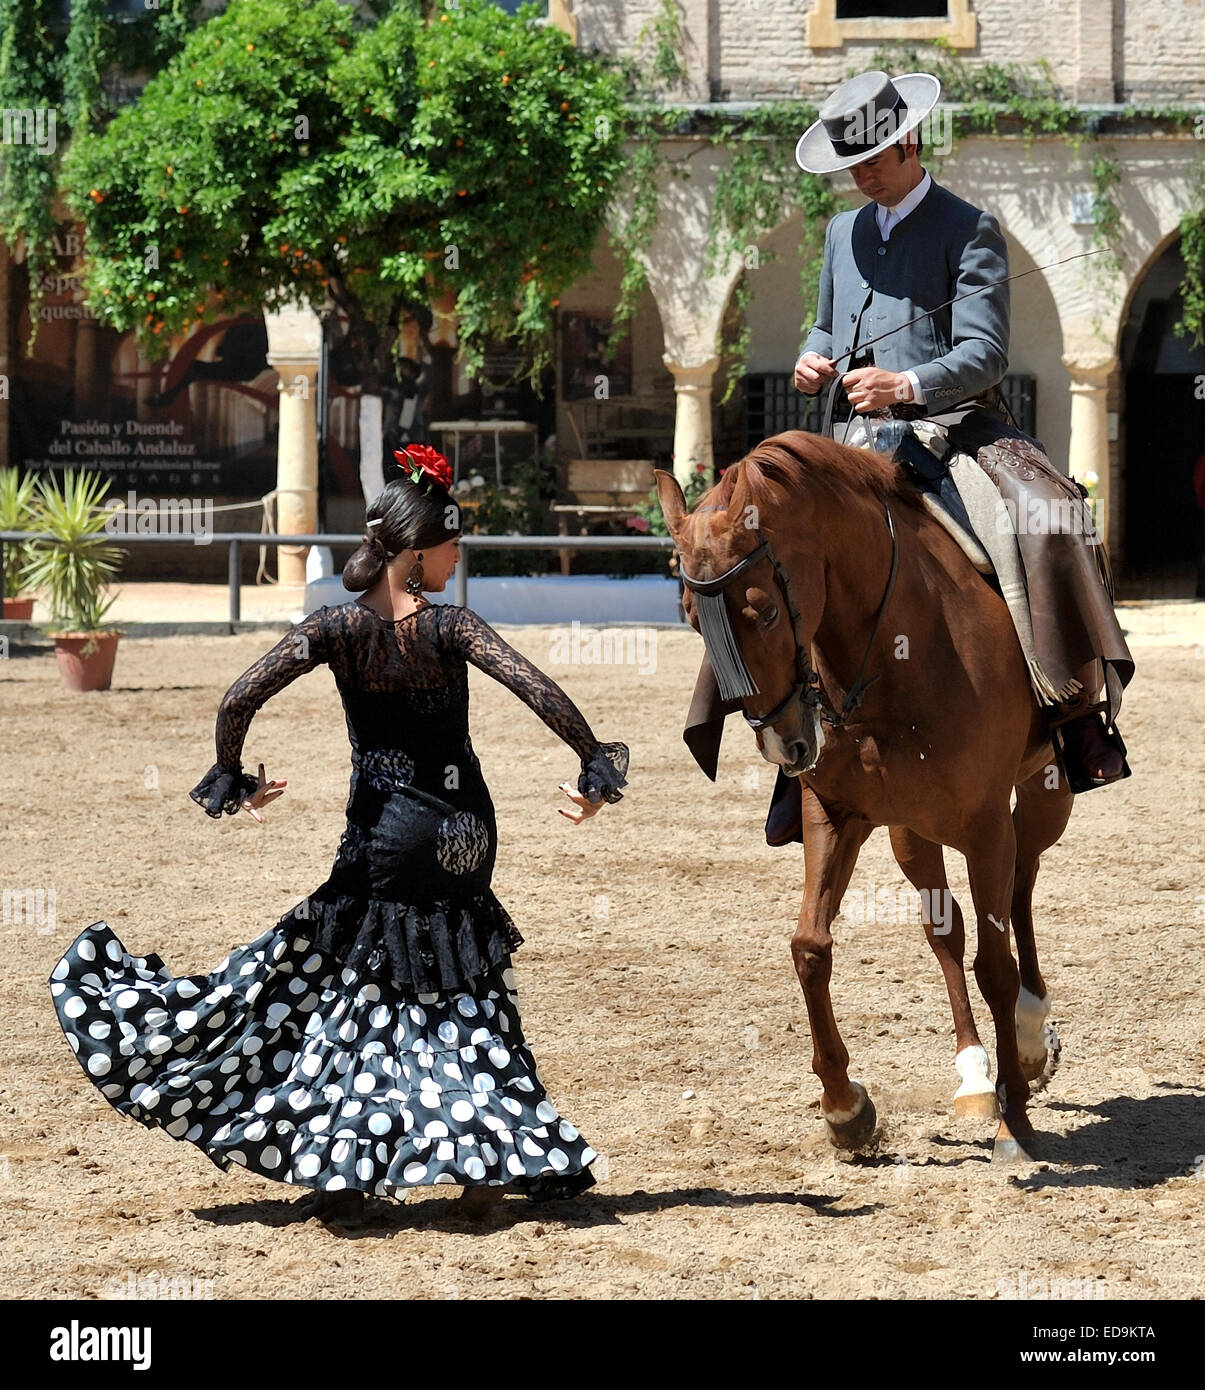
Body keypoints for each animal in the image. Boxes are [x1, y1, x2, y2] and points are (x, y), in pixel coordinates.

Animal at [655, 430, 1073, 1164]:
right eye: (690, 618)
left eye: (764, 610)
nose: (785, 745)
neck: (897, 652)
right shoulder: (837, 815)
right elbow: (810, 948)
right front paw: (844, 1107)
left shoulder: (987, 823)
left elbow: (994, 962)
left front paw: (1014, 1121)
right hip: (914, 831)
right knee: (944, 931)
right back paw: (974, 1075)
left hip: (1043, 795)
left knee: (1021, 886)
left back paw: (1026, 1035)